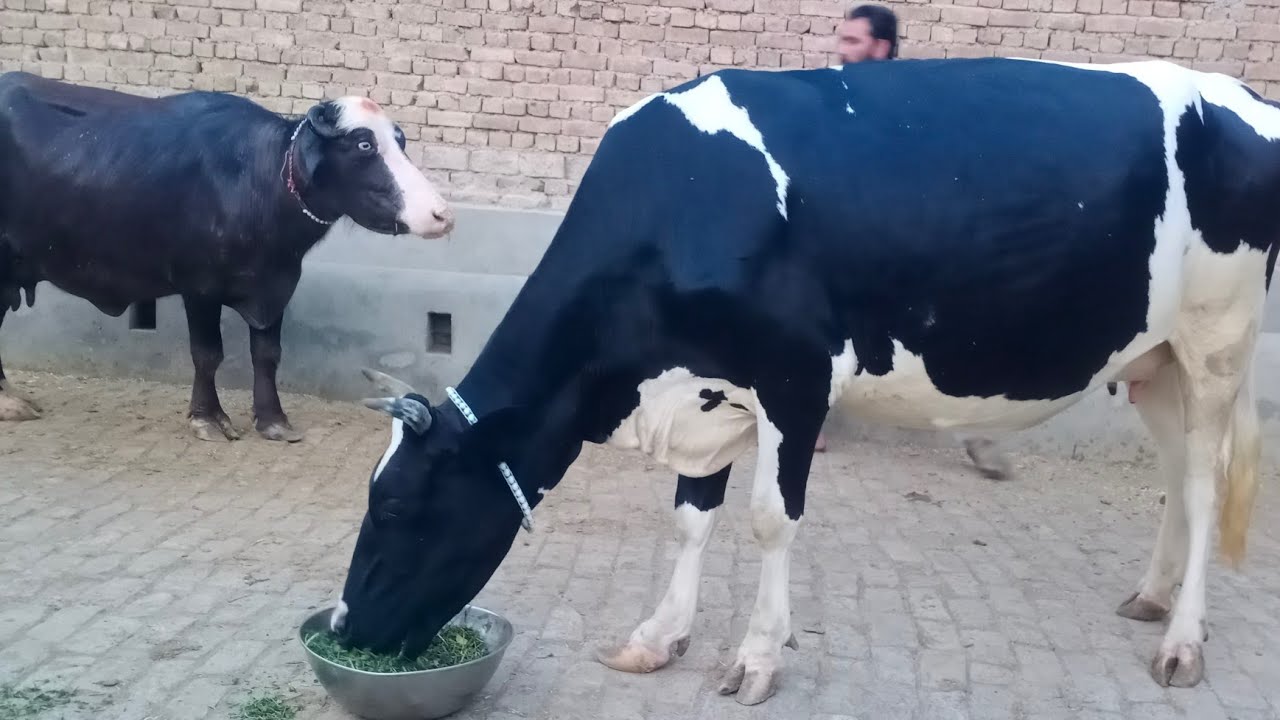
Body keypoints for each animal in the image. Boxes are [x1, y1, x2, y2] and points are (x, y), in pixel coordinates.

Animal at [0, 72, 455, 442]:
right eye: (363, 144)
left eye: (400, 142)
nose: (442, 215)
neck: (259, 180)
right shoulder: (199, 287)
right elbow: (208, 354)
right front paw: (208, 418)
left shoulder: (277, 286)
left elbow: (267, 354)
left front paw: (273, 420)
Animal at [330, 57, 1279, 705]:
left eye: (396, 506)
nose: (347, 629)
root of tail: (1243, 96)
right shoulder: (706, 386)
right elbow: (690, 517)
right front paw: (658, 635)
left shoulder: (794, 374)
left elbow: (766, 520)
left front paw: (755, 658)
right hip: (1155, 359)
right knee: (1175, 477)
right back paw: (1150, 598)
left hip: (1217, 339)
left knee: (1204, 484)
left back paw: (1182, 643)